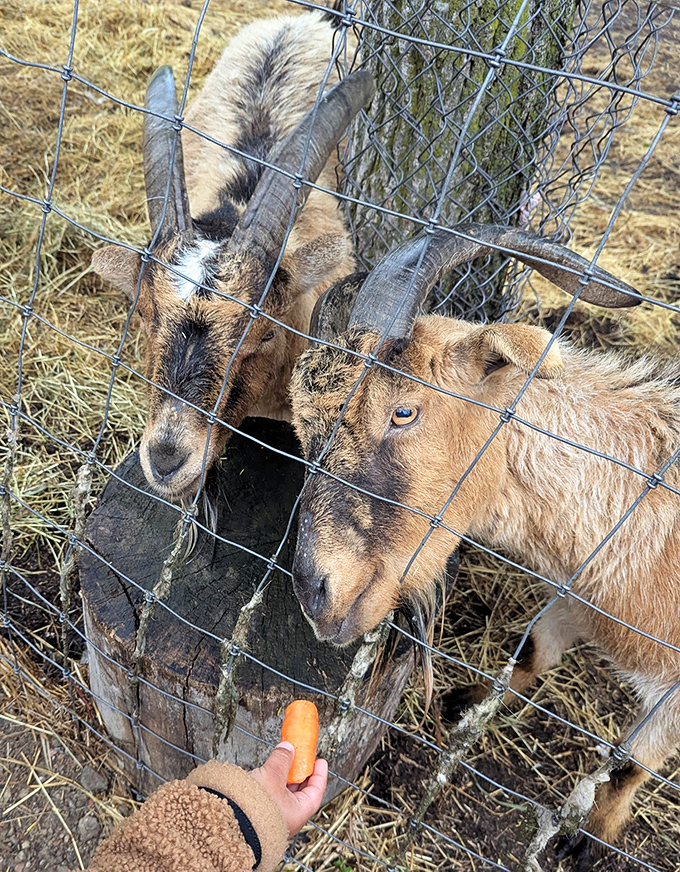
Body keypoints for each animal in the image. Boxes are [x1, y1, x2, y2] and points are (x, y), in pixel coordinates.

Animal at [288, 224, 680, 865]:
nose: (316, 592)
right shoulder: (574, 593)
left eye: (403, 411)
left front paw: (591, 842)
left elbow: (628, 764)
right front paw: (466, 702)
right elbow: (532, 653)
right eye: (301, 424)